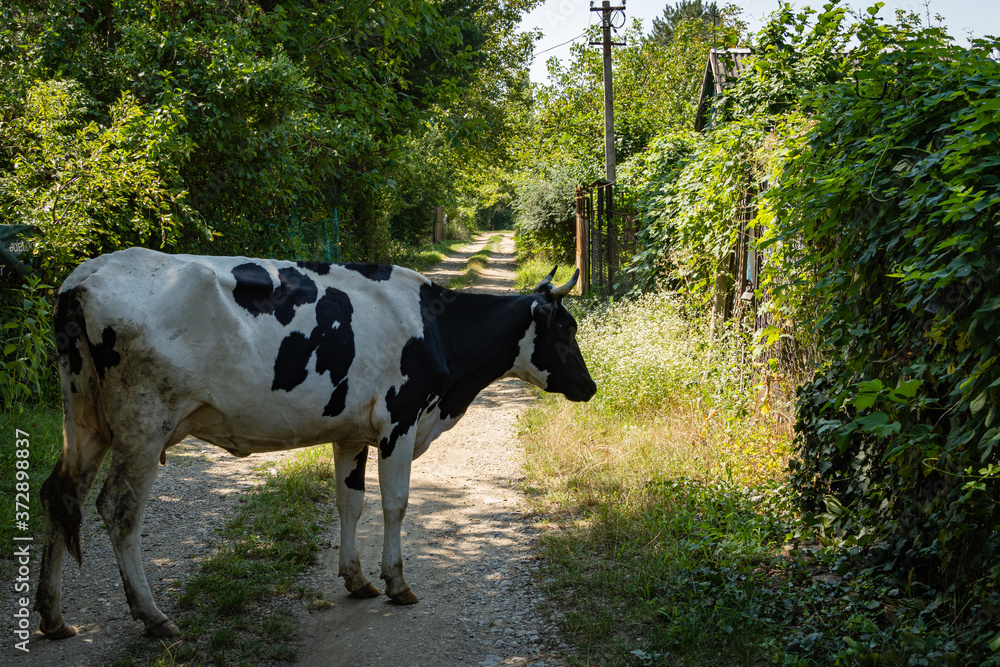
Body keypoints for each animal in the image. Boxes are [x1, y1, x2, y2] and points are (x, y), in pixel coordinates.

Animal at [35, 248, 596, 639]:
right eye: (565, 330)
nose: (590, 388)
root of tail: (84, 277)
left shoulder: (351, 432)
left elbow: (351, 503)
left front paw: (357, 579)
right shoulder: (400, 419)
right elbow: (395, 504)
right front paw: (397, 584)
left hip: (83, 418)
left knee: (60, 495)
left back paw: (52, 617)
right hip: (143, 423)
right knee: (118, 508)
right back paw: (153, 617)